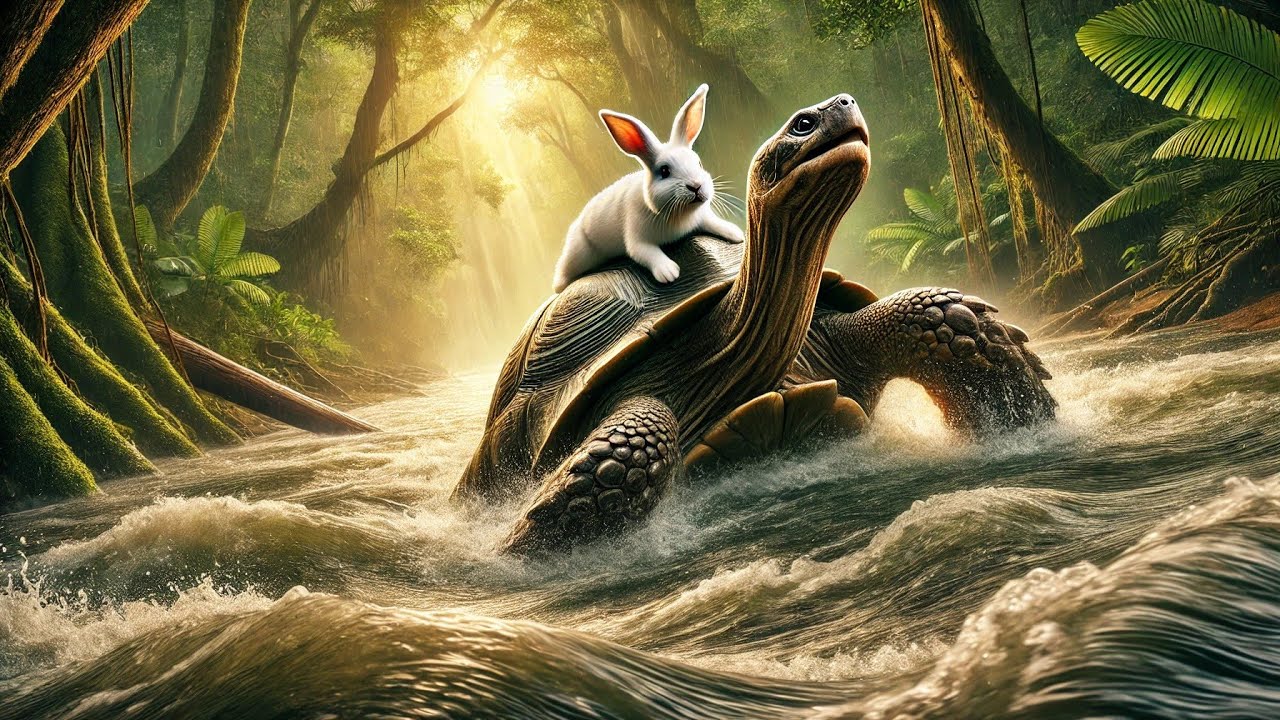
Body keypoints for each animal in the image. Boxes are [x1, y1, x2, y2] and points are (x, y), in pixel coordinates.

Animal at [552, 83, 744, 292]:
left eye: (699, 163)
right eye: (665, 171)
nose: (696, 186)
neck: (680, 215)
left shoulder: (702, 217)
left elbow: (713, 222)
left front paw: (735, 233)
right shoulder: (637, 239)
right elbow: (646, 252)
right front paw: (669, 273)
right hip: (577, 253)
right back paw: (558, 286)